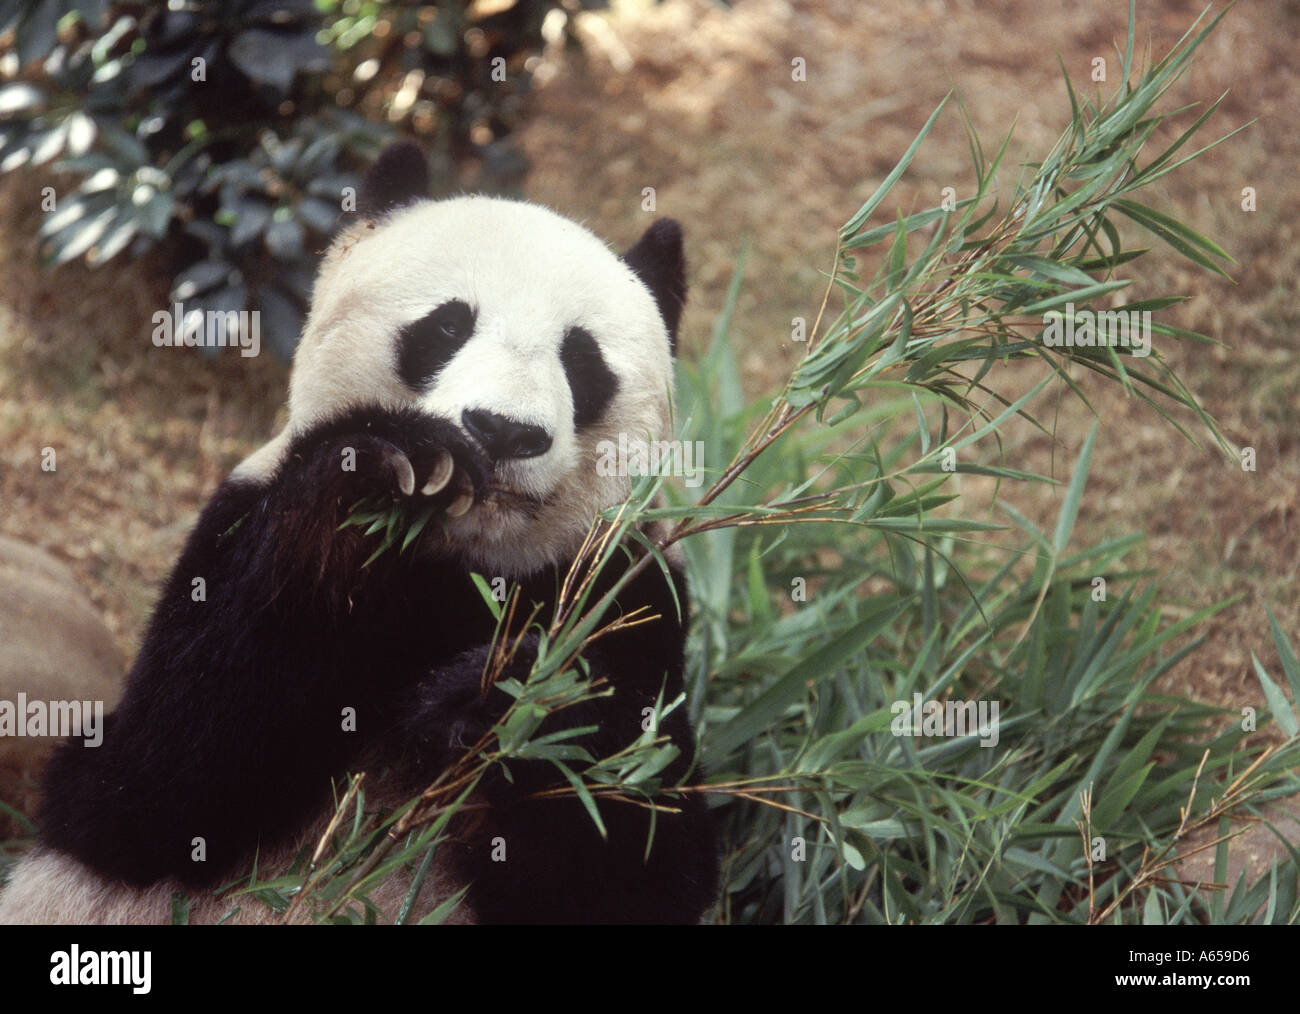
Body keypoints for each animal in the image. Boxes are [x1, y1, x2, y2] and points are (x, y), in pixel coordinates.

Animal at [0, 142, 718, 925]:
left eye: (582, 361)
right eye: (447, 326)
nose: (502, 430)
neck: (464, 563)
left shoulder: (628, 589)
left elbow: (641, 851)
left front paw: (502, 698)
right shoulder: (228, 530)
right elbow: (146, 790)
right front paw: (378, 474)